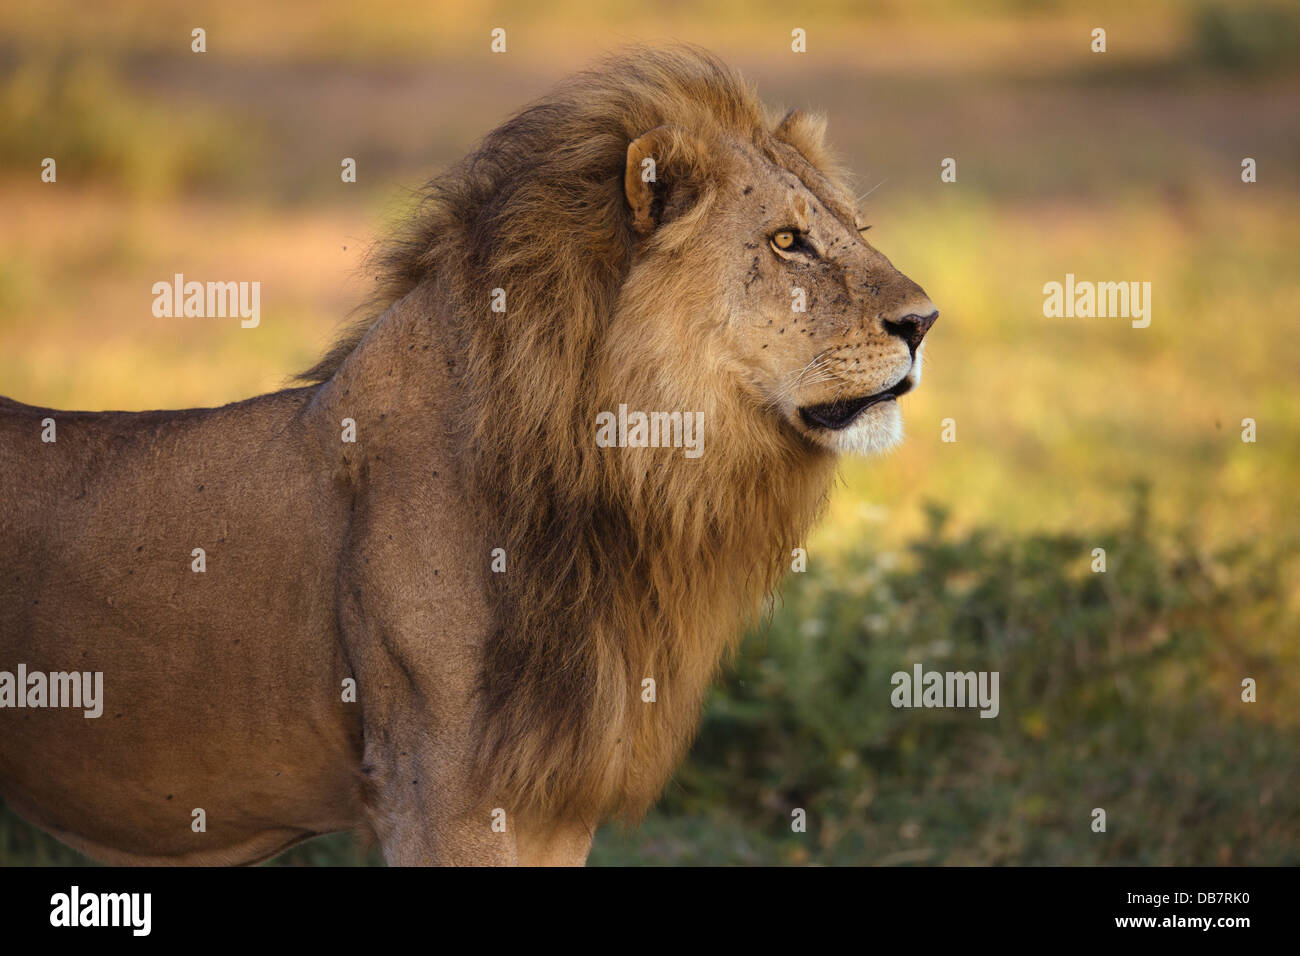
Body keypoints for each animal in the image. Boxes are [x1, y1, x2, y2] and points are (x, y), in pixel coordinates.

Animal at [0, 46, 936, 865]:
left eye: (857, 229)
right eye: (786, 243)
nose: (925, 322)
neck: (619, 480)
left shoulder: (553, 803)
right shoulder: (441, 797)